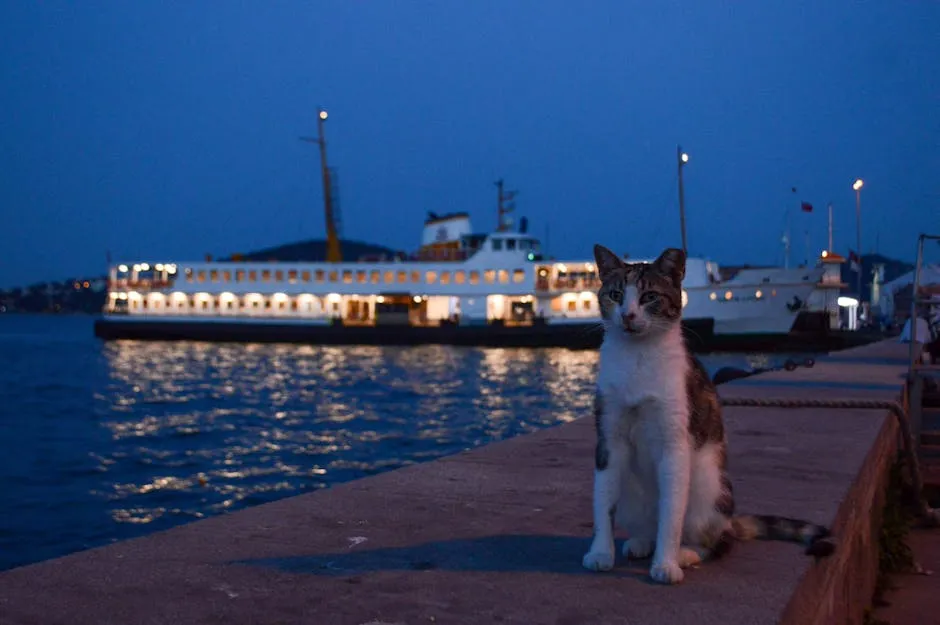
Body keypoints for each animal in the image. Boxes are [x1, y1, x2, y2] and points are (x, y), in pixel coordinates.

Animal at [580, 245, 836, 584]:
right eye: (616, 294)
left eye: (649, 297)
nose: (628, 315)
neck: (637, 358)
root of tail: (730, 520)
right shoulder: (609, 440)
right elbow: (603, 503)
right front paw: (600, 553)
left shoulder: (675, 443)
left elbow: (672, 515)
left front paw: (666, 564)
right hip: (632, 495)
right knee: (644, 523)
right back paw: (642, 542)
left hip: (708, 487)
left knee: (719, 541)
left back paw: (686, 553)